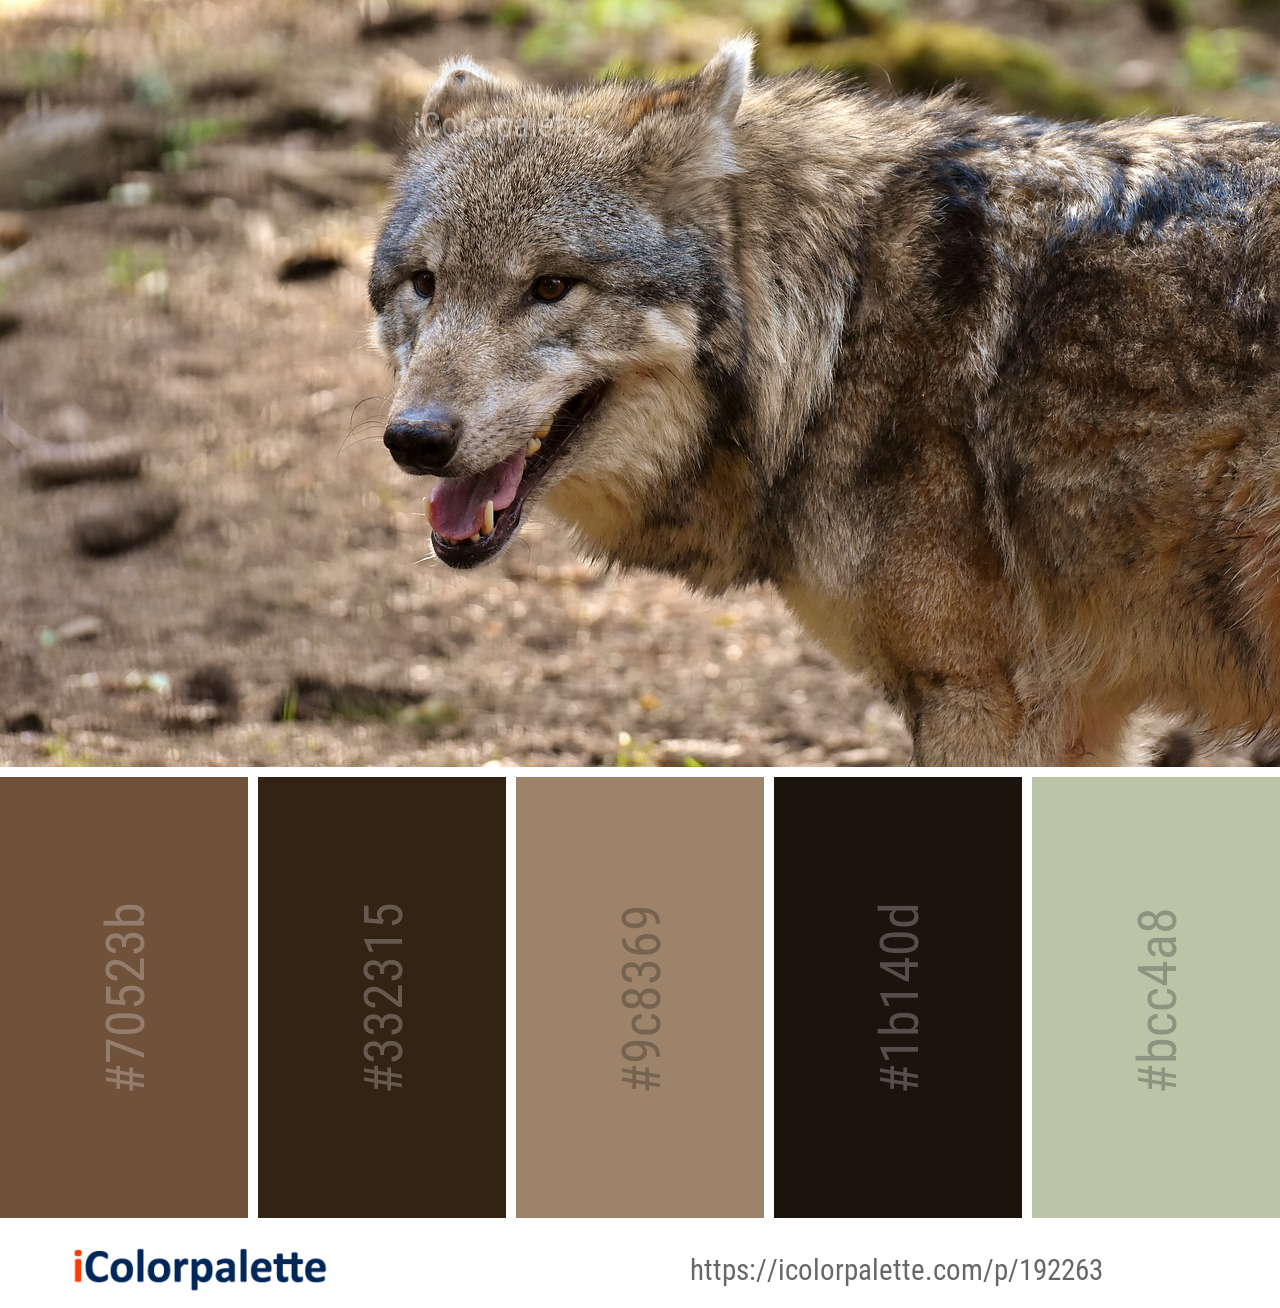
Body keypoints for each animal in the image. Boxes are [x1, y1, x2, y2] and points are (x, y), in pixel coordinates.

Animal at [369, 36, 1280, 765]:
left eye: (552, 286)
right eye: (424, 283)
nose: (414, 439)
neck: (839, 325)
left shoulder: (984, 697)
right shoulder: (1075, 711)